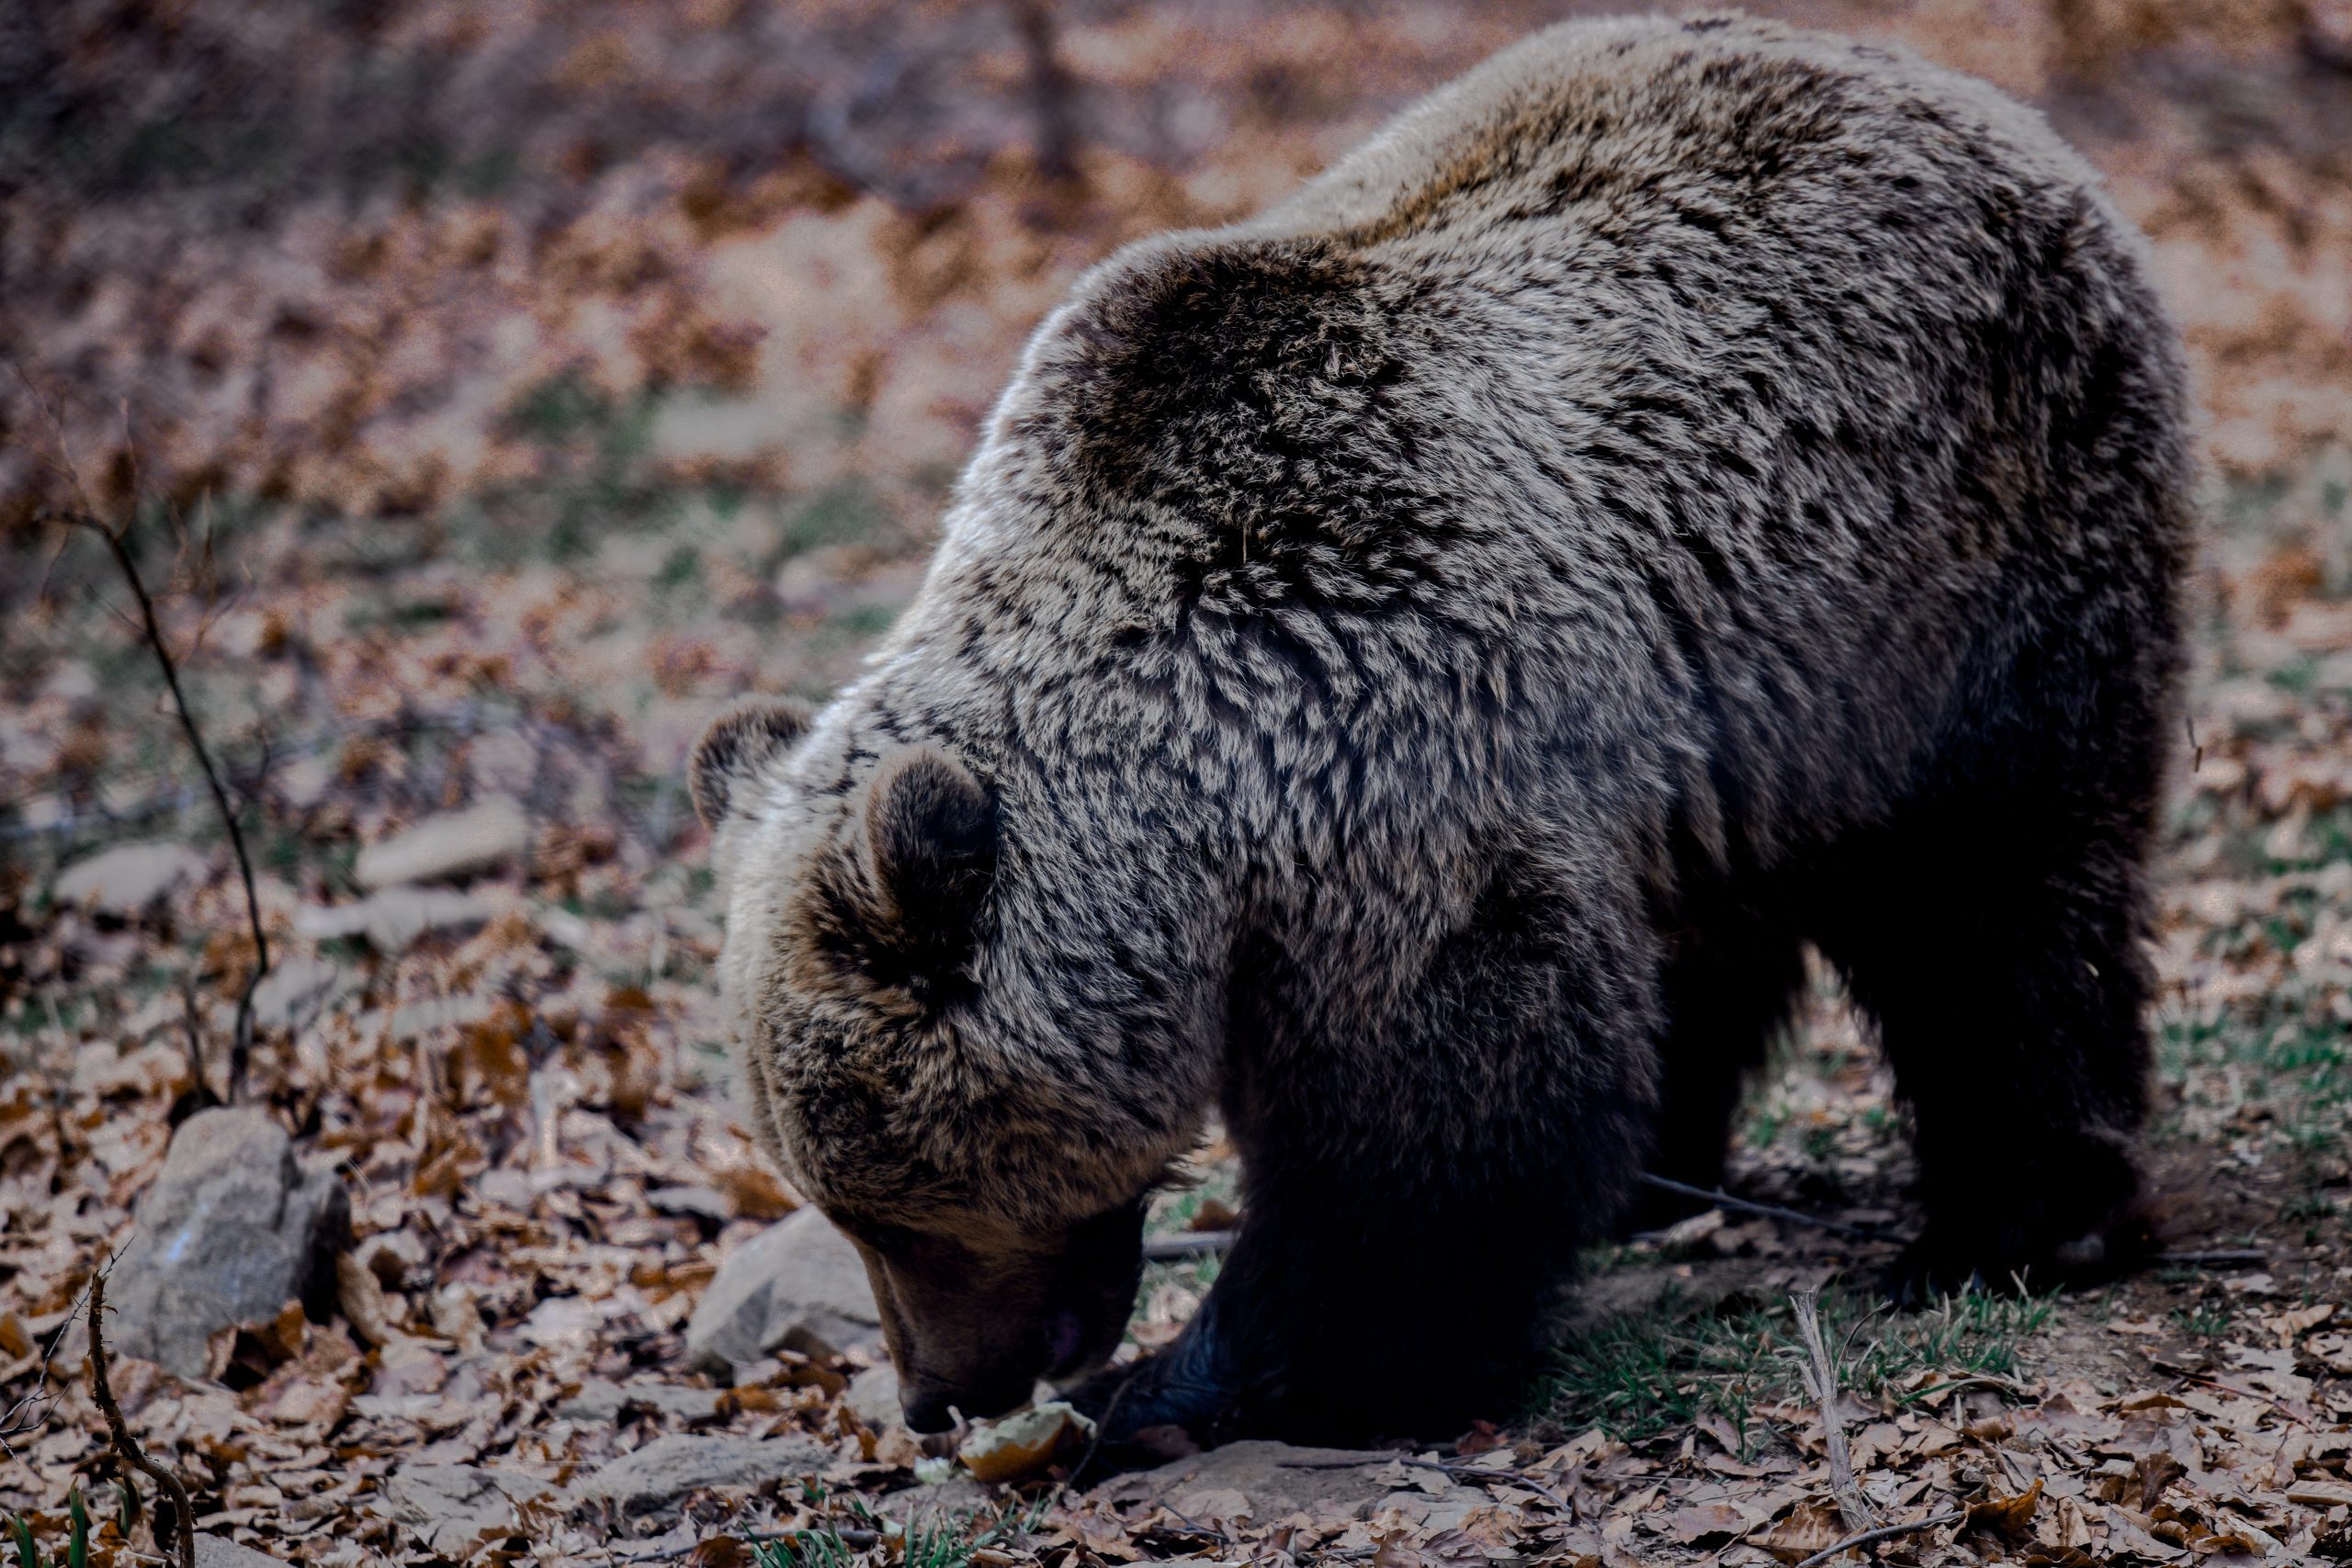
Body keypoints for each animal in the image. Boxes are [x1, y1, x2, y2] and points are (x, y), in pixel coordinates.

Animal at [692, 11, 2193, 1448]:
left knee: (1996, 898)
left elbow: (1427, 1143)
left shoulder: (1390, 768)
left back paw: (2015, 1221)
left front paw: (1185, 1388)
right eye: (839, 1202)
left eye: (894, 1208)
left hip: (1962, 566)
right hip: (1735, 706)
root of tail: (1982, 103)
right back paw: (1662, 1176)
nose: (938, 1393)